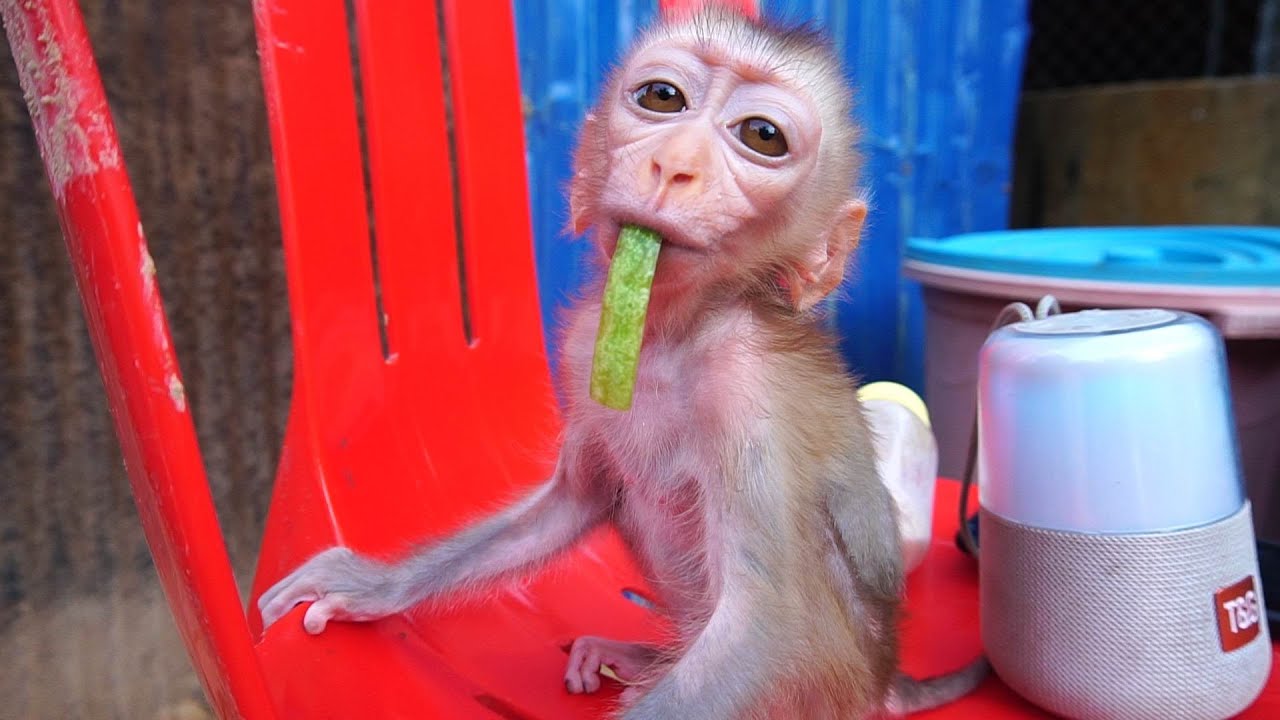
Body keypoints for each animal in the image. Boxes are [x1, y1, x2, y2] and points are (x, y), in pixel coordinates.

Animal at [257, 7, 988, 719]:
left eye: (763, 136)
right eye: (662, 98)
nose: (675, 165)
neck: (670, 337)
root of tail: (886, 678)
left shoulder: (752, 388)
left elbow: (767, 628)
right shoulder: (587, 345)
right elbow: (575, 498)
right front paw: (372, 585)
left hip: (835, 684)